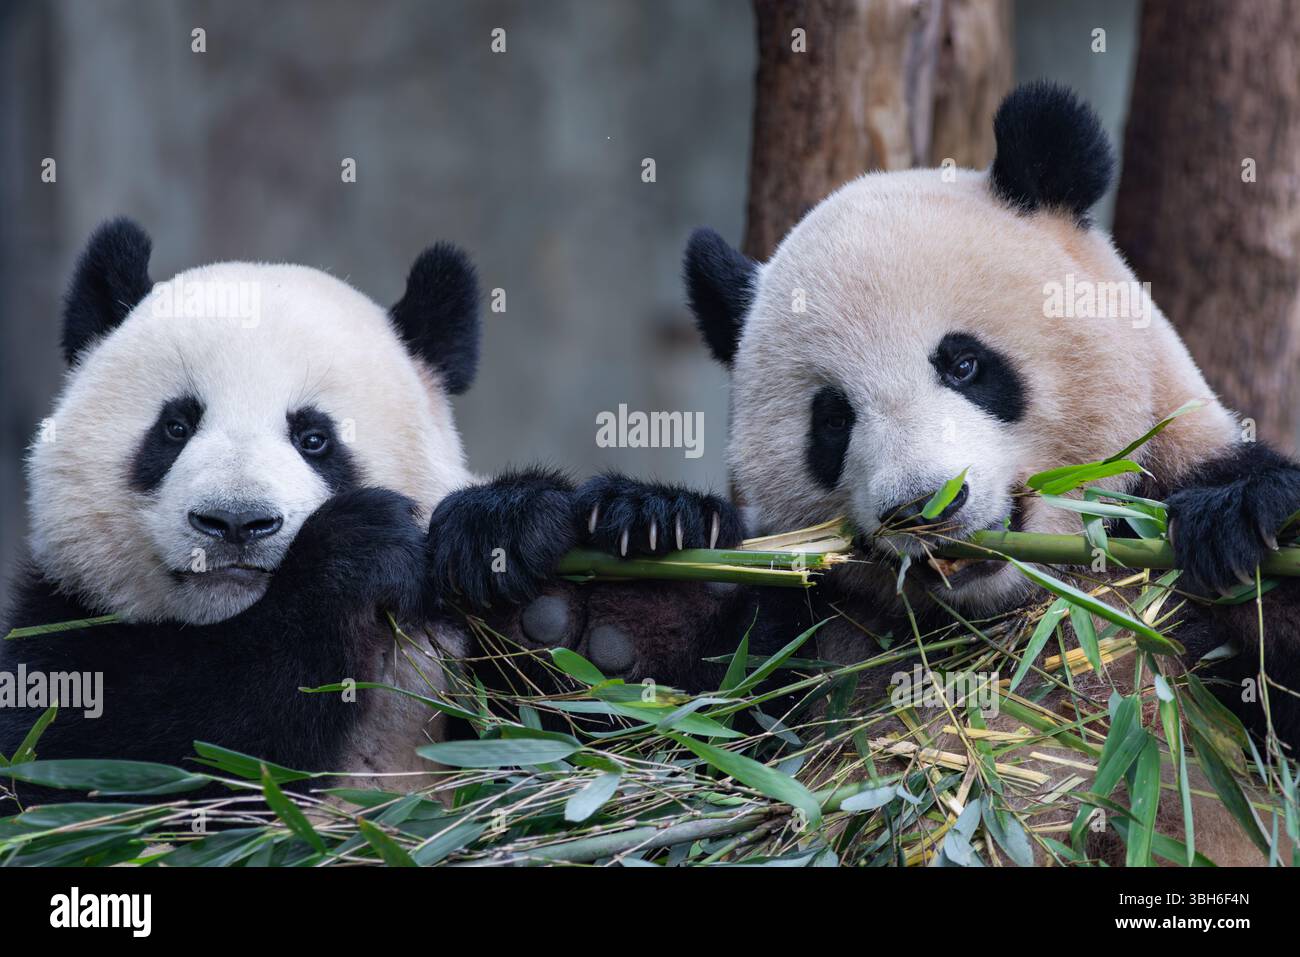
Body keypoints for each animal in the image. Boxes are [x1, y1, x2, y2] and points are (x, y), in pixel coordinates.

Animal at [0, 218, 487, 803]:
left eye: (315, 438)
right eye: (176, 426)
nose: (235, 522)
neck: (233, 618)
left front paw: (515, 540)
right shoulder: (57, 628)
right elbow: (116, 755)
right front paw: (354, 555)